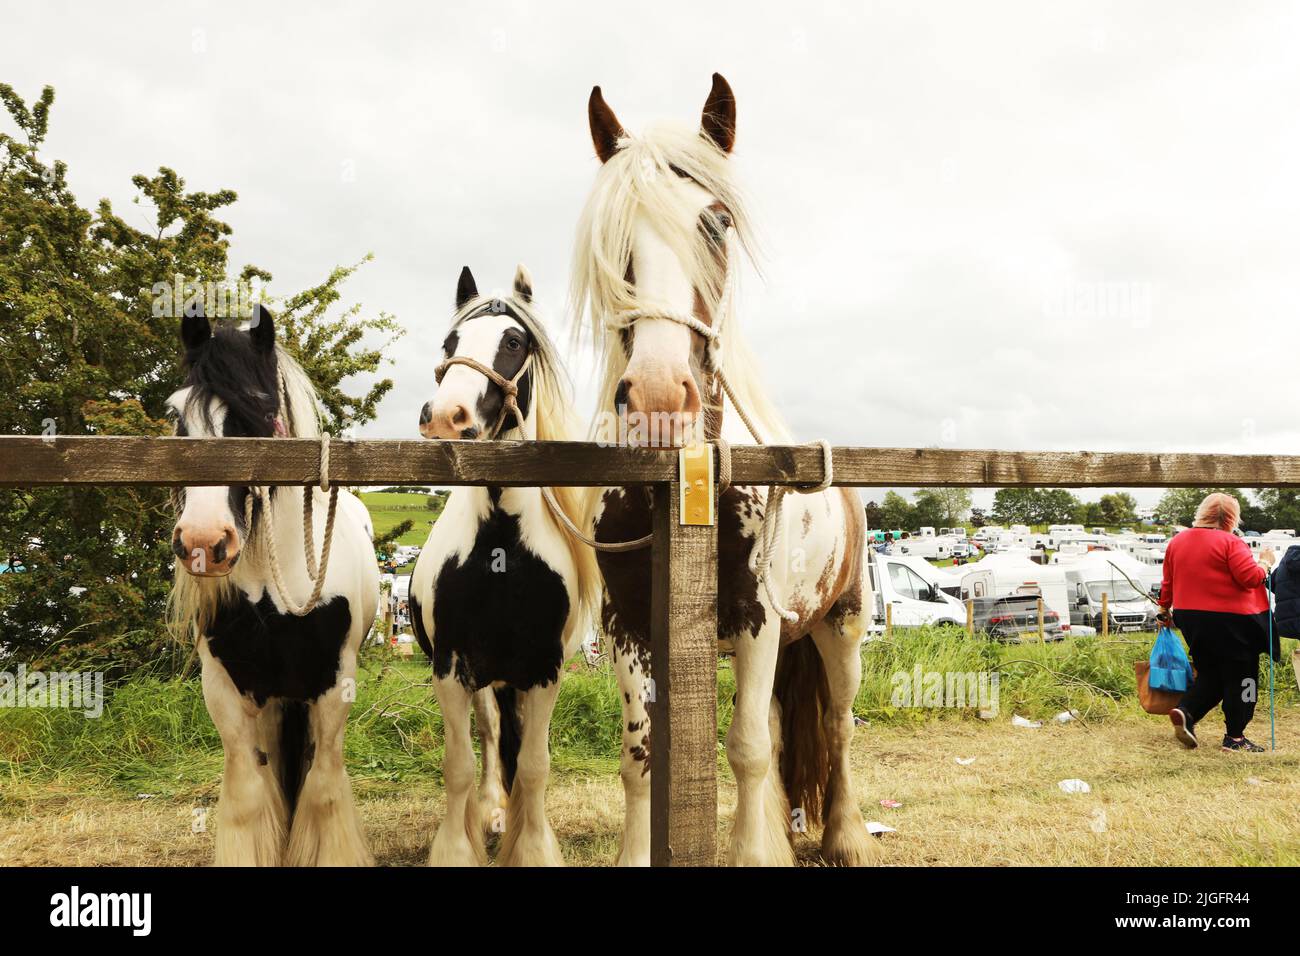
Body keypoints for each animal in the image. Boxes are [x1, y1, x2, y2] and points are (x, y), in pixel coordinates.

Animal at [167, 304, 379, 866]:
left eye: (260, 411)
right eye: (176, 414)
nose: (203, 540)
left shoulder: (333, 684)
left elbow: (323, 790)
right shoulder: (225, 686)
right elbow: (246, 796)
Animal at [410, 265, 600, 866]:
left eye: (514, 342)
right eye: (450, 343)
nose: (446, 418)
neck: (499, 553)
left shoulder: (543, 670)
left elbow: (535, 767)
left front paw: (532, 845)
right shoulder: (451, 667)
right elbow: (460, 765)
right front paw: (460, 844)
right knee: (492, 734)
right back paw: (494, 810)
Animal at [572, 74, 876, 866]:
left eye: (718, 224)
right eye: (614, 235)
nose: (657, 395)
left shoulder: (756, 615)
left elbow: (744, 750)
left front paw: (753, 850)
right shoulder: (629, 625)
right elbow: (641, 756)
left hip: (840, 626)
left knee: (836, 727)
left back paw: (845, 835)